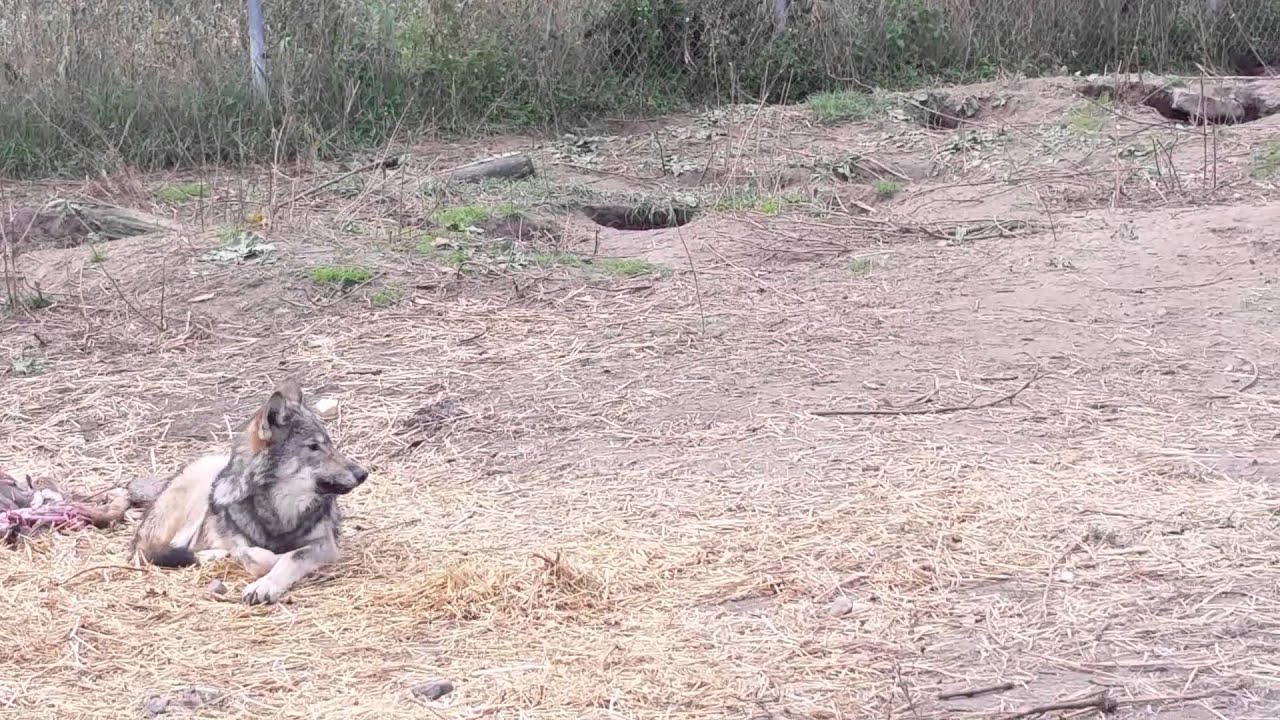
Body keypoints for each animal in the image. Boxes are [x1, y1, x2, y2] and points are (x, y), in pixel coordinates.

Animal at [129, 378, 368, 604]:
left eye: (331, 444)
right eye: (313, 447)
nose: (362, 473)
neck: (277, 513)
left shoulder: (324, 543)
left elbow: (292, 557)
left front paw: (265, 584)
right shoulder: (238, 538)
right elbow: (252, 554)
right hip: (206, 484)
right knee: (159, 551)